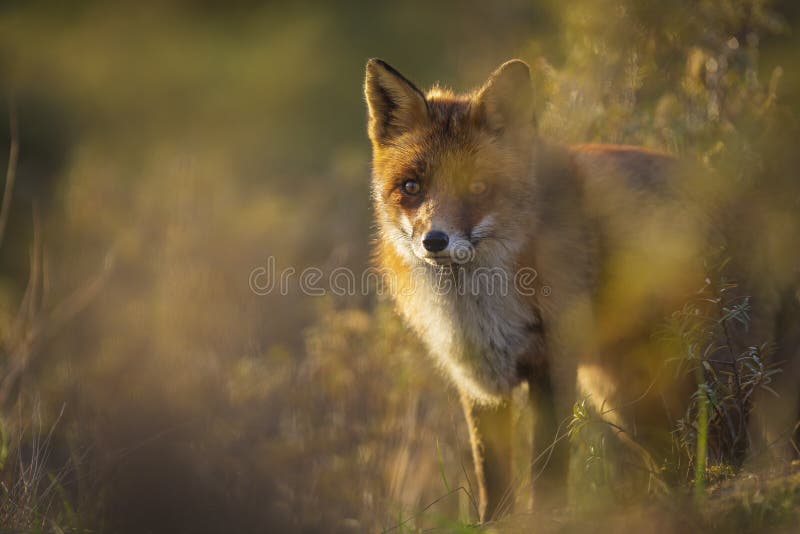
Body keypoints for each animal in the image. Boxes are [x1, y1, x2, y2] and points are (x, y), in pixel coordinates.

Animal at [364, 58, 800, 522]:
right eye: (412, 187)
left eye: (478, 187)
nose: (435, 241)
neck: (478, 306)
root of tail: (759, 211)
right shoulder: (480, 378)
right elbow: (491, 476)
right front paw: (495, 523)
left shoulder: (554, 363)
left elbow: (548, 465)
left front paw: (545, 517)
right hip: (629, 402)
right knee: (679, 467)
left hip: (713, 382)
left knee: (730, 457)